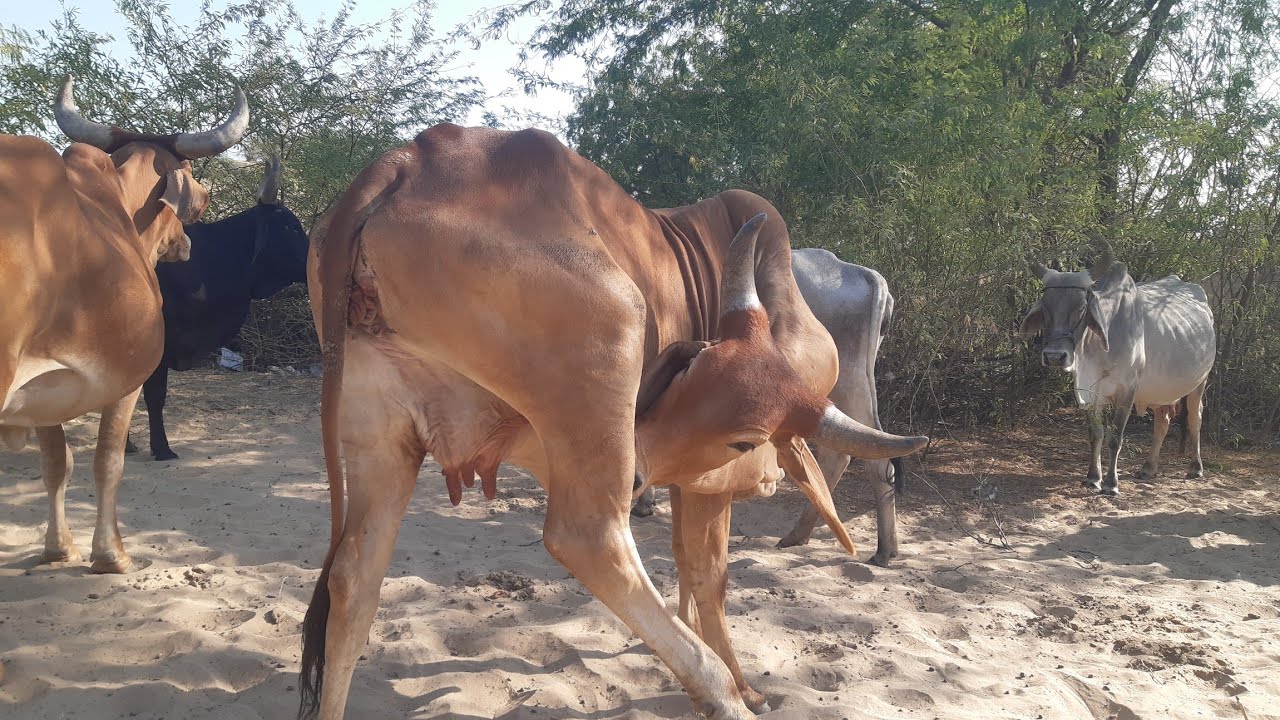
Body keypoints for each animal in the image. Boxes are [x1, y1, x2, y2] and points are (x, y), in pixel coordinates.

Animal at [0, 76, 248, 573]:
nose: (186, 242)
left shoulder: (43, 390)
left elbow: (56, 462)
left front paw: (59, 548)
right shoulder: (126, 378)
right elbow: (107, 460)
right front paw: (110, 553)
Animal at [1021, 242, 1216, 497]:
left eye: (1082, 308)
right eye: (1045, 307)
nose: (1054, 356)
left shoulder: (1127, 390)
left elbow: (1115, 437)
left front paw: (1111, 483)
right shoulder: (1089, 392)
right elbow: (1096, 434)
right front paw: (1093, 477)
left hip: (1200, 382)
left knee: (1195, 418)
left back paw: (1195, 467)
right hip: (1162, 390)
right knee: (1162, 422)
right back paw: (1148, 468)